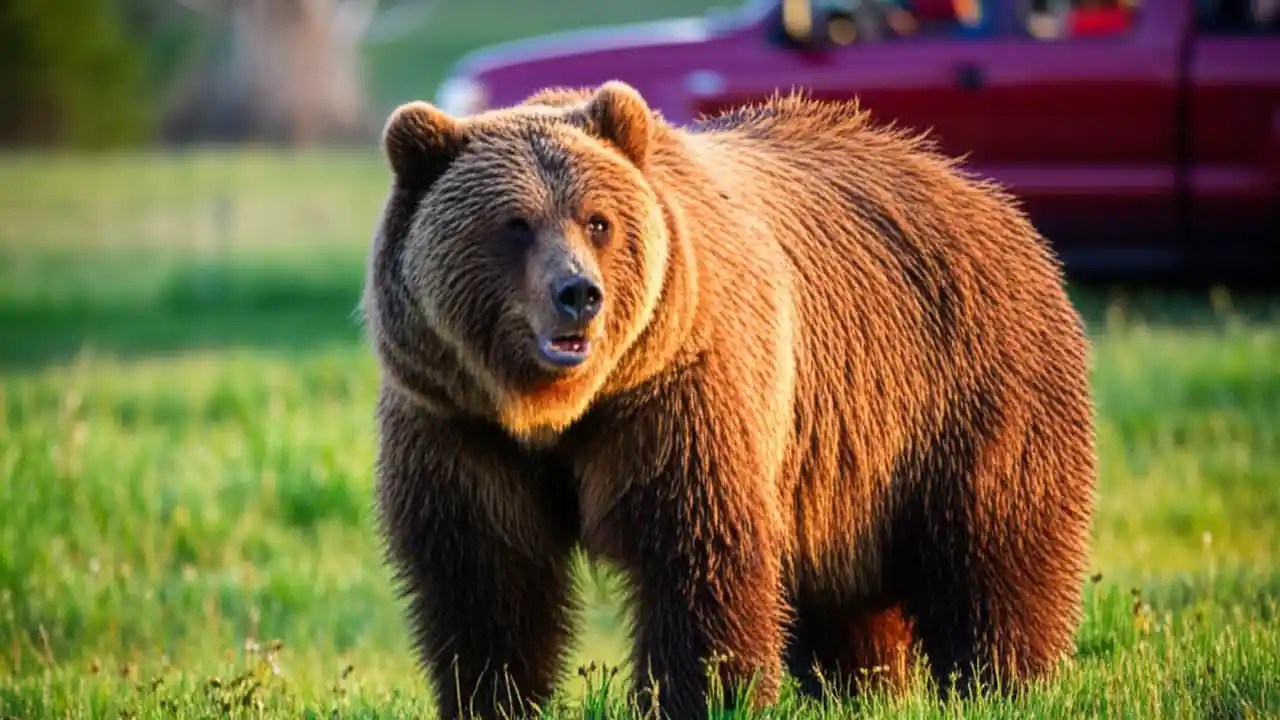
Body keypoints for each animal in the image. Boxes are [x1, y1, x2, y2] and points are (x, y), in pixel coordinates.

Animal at [362, 80, 1096, 719]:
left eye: (597, 222)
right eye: (515, 223)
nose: (579, 293)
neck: (555, 410)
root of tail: (995, 201)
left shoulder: (675, 395)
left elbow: (697, 556)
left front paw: (706, 695)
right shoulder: (457, 420)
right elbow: (485, 578)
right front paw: (491, 697)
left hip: (966, 391)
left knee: (994, 557)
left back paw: (1007, 682)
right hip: (852, 471)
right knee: (850, 604)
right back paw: (863, 689)